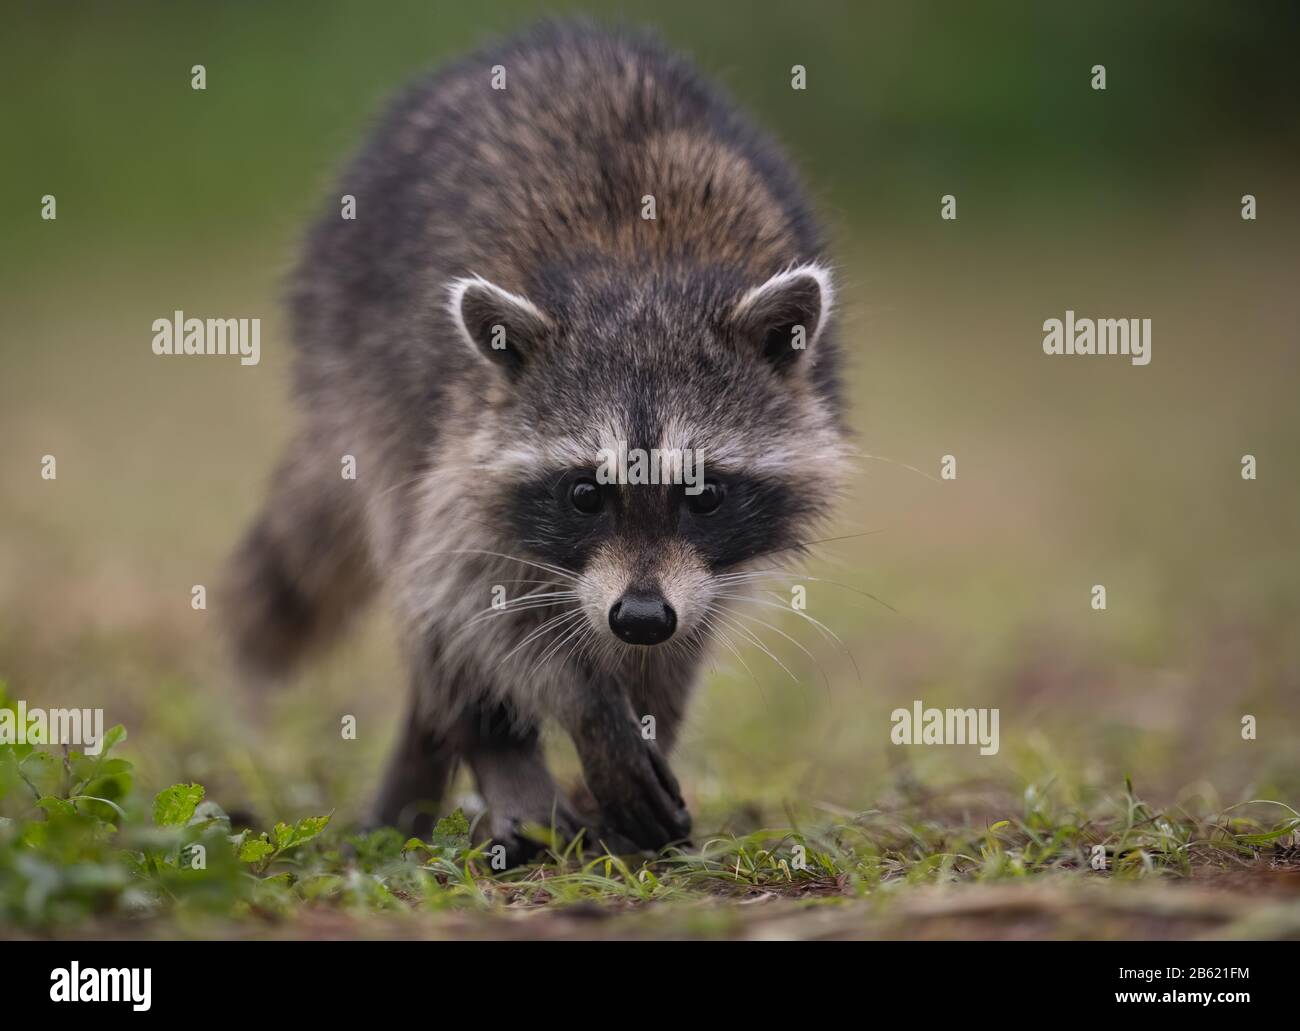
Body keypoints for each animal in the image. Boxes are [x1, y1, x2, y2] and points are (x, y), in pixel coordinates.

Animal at [224, 20, 849, 860]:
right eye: (585, 493)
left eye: (705, 493)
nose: (639, 617)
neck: (645, 273)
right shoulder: (456, 439)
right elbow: (471, 599)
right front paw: (584, 712)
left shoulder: (707, 567)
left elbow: (683, 644)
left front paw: (644, 724)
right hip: (354, 356)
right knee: (432, 597)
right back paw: (494, 755)